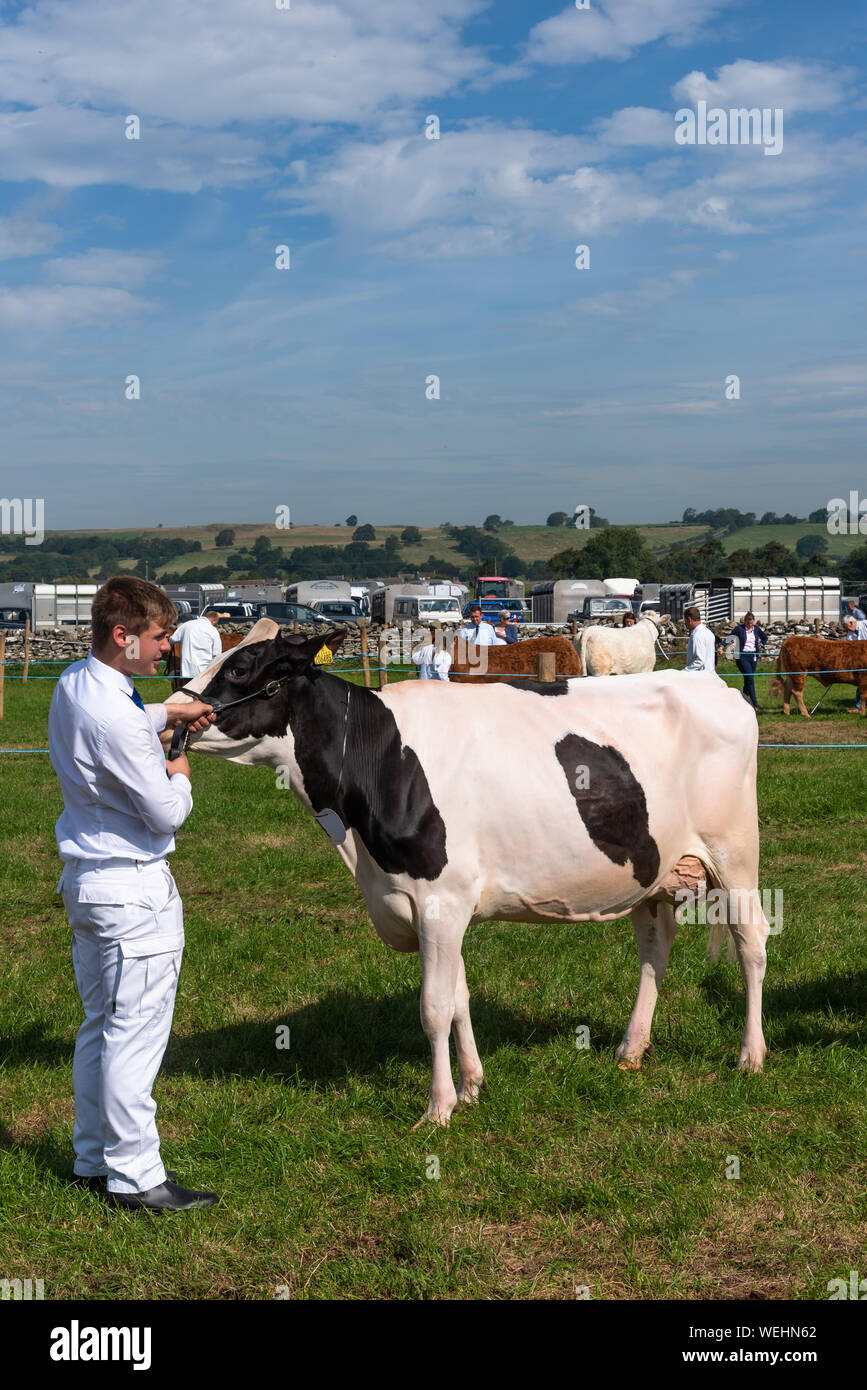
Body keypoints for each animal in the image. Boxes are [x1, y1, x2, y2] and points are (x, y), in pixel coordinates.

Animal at [166, 620, 771, 1128]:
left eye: (241, 669)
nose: (171, 712)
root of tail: (715, 687)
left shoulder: (440, 900)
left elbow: (434, 1008)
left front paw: (438, 1109)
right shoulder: (433, 906)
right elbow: (458, 998)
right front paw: (473, 1086)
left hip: (734, 852)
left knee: (751, 941)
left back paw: (750, 1054)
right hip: (652, 869)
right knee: (655, 946)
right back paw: (631, 1048)